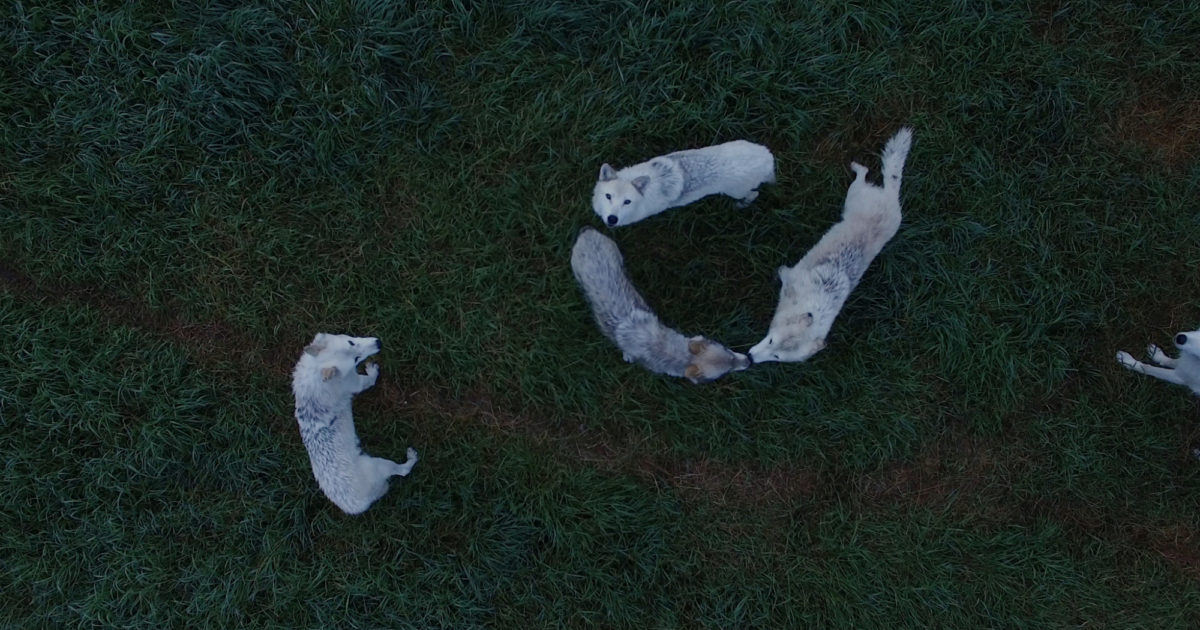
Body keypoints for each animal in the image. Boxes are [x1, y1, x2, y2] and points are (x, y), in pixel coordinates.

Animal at [292, 333, 418, 514]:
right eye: (356, 359)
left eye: (351, 342)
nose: (379, 343)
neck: (317, 372)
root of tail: (358, 505)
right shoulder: (357, 383)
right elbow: (371, 378)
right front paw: (372, 369)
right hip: (379, 464)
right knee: (403, 471)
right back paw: (412, 457)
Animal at [592, 140, 775, 227]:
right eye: (608, 196)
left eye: (627, 202)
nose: (612, 219)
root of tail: (768, 157)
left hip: (736, 192)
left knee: (754, 194)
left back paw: (741, 205)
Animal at [749, 127, 913, 363]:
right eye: (770, 340)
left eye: (777, 357)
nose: (751, 358)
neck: (811, 303)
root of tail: (892, 196)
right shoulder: (790, 276)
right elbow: (782, 273)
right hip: (852, 196)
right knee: (864, 174)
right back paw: (856, 166)